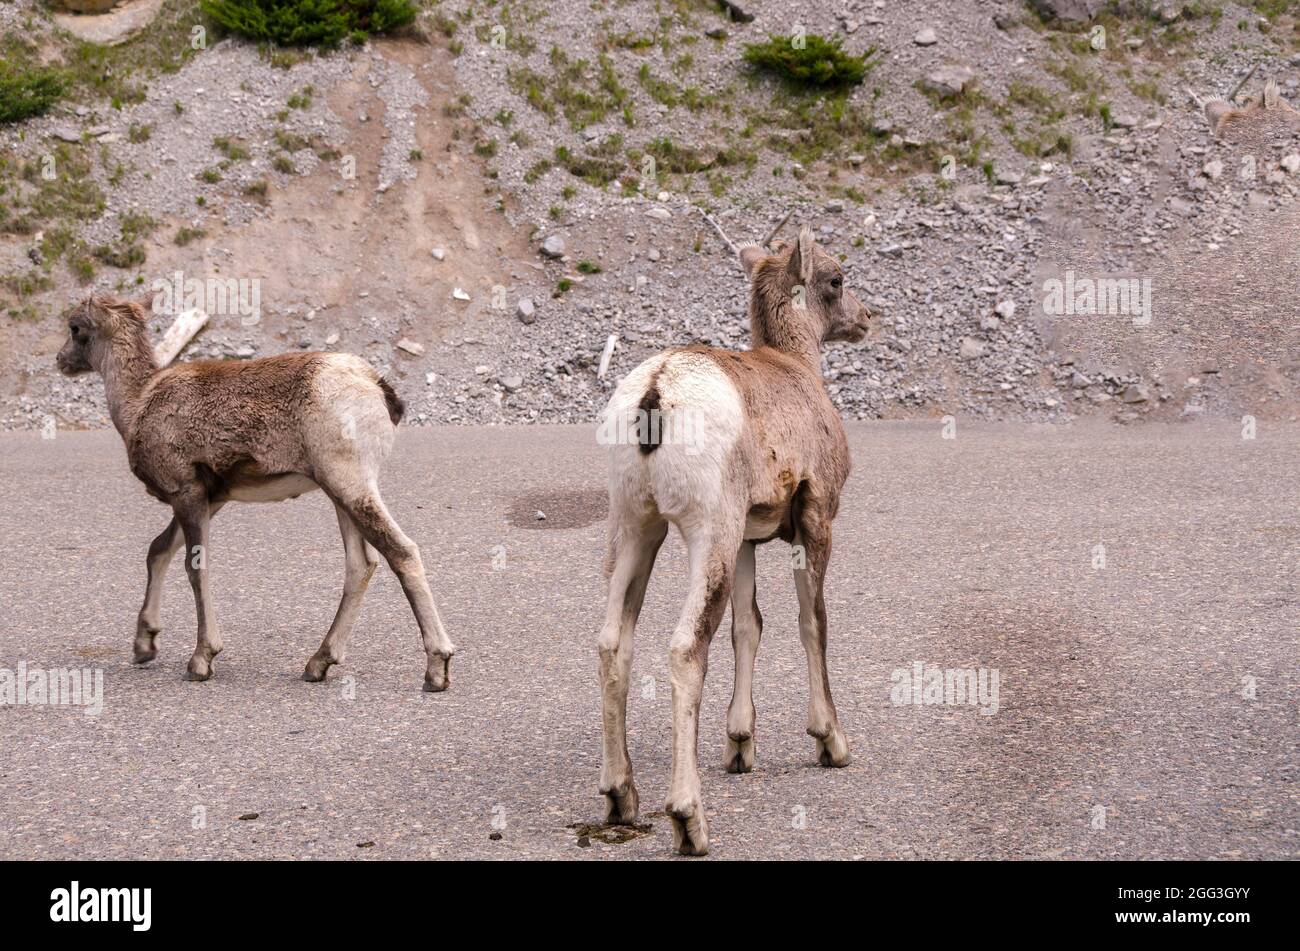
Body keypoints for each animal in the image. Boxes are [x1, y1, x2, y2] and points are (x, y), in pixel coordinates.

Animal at [55, 295, 455, 689]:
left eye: (75, 328)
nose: (61, 361)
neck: (138, 403)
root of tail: (375, 386)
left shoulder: (187, 493)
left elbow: (195, 567)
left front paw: (201, 661)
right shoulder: (210, 499)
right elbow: (158, 551)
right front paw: (144, 646)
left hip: (350, 485)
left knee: (401, 552)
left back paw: (436, 669)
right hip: (339, 494)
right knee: (361, 565)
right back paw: (318, 663)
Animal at [595, 226, 871, 855]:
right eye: (836, 279)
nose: (865, 319)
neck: (797, 369)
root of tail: (655, 395)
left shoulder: (749, 537)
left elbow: (749, 627)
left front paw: (741, 745)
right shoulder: (815, 519)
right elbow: (811, 621)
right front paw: (830, 741)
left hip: (635, 529)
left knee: (612, 644)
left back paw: (623, 796)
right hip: (706, 537)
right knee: (684, 650)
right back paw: (688, 819)